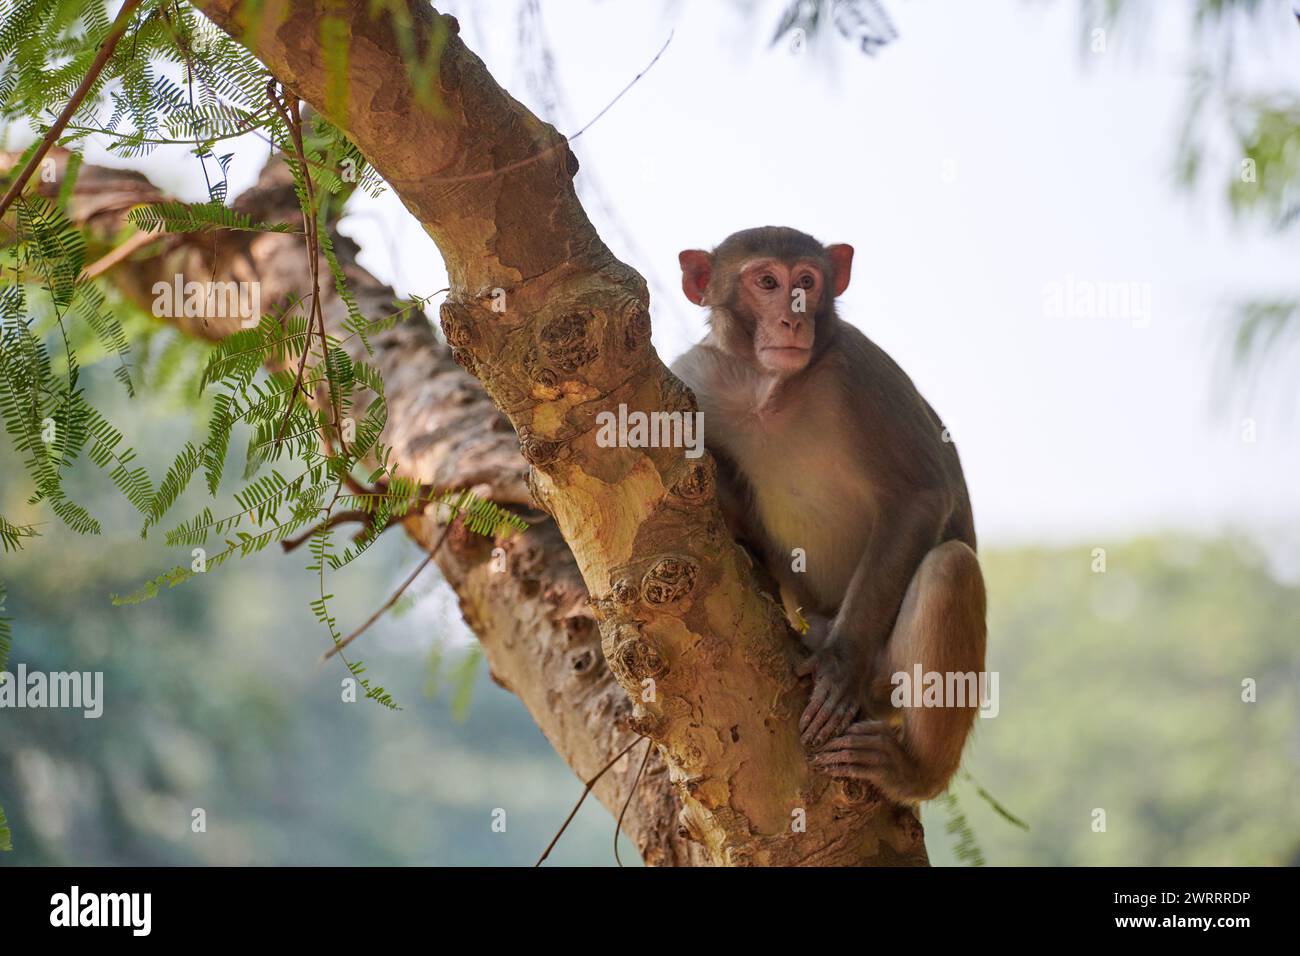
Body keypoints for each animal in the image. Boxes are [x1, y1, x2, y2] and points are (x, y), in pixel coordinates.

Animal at [670, 226, 987, 804]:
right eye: (767, 282)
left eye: (806, 282)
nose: (793, 319)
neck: (767, 387)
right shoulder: (693, 378)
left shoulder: (860, 370)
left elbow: (921, 496)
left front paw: (839, 665)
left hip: (883, 681)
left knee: (951, 568)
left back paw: (913, 771)